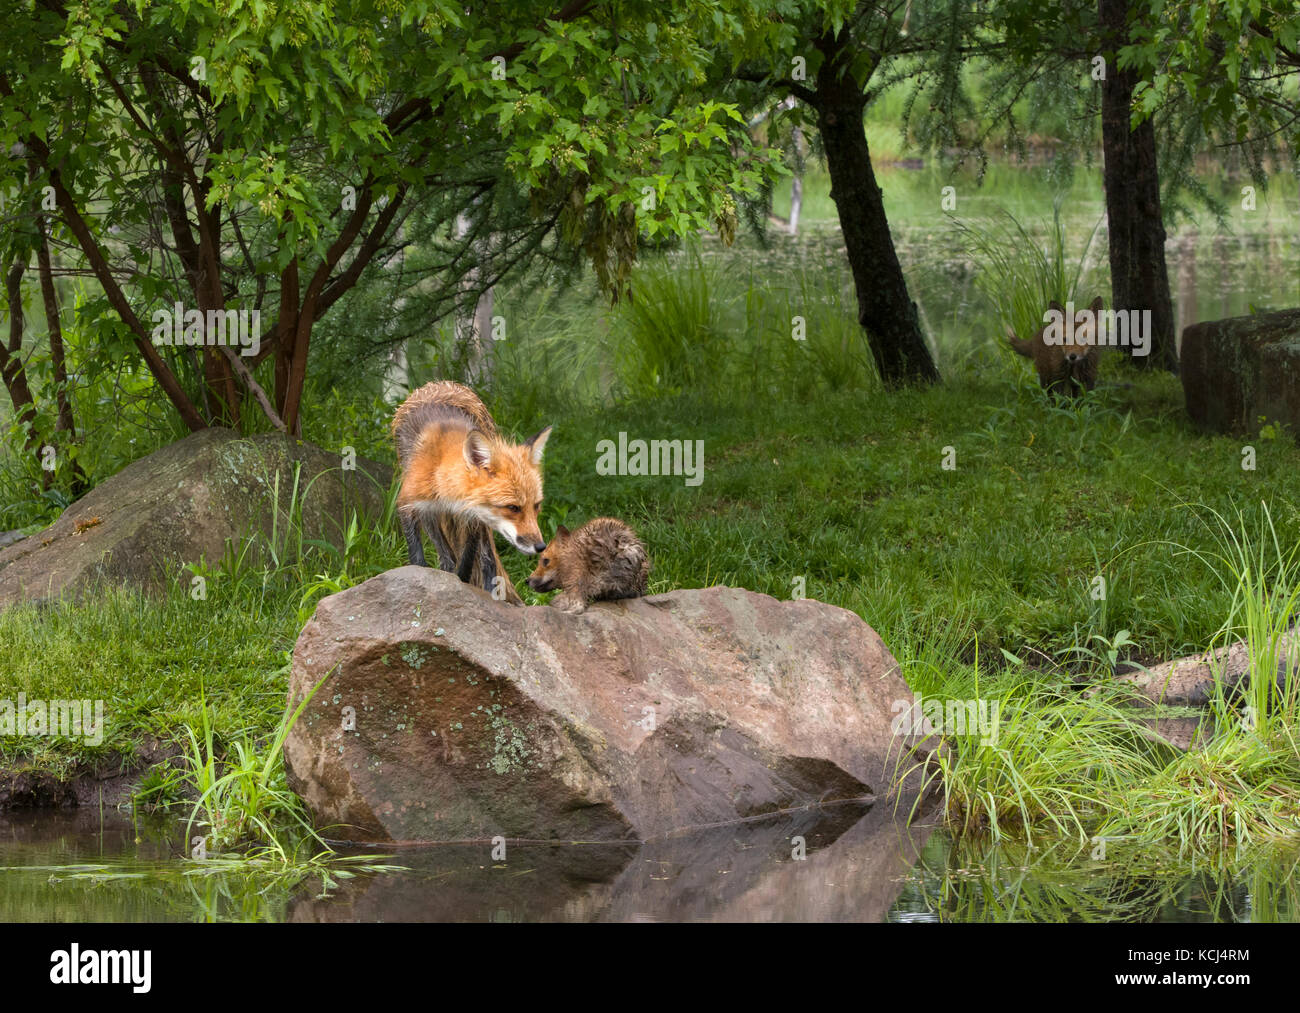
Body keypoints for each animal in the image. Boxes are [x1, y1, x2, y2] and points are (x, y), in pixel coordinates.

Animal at [392, 380, 551, 604]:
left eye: (536, 506)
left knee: (486, 559)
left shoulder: (473, 519)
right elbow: (418, 557)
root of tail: (440, 384)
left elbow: (468, 563)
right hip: (431, 517)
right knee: (447, 557)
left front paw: (463, 587)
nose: (540, 546)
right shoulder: (409, 503)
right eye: (512, 507)